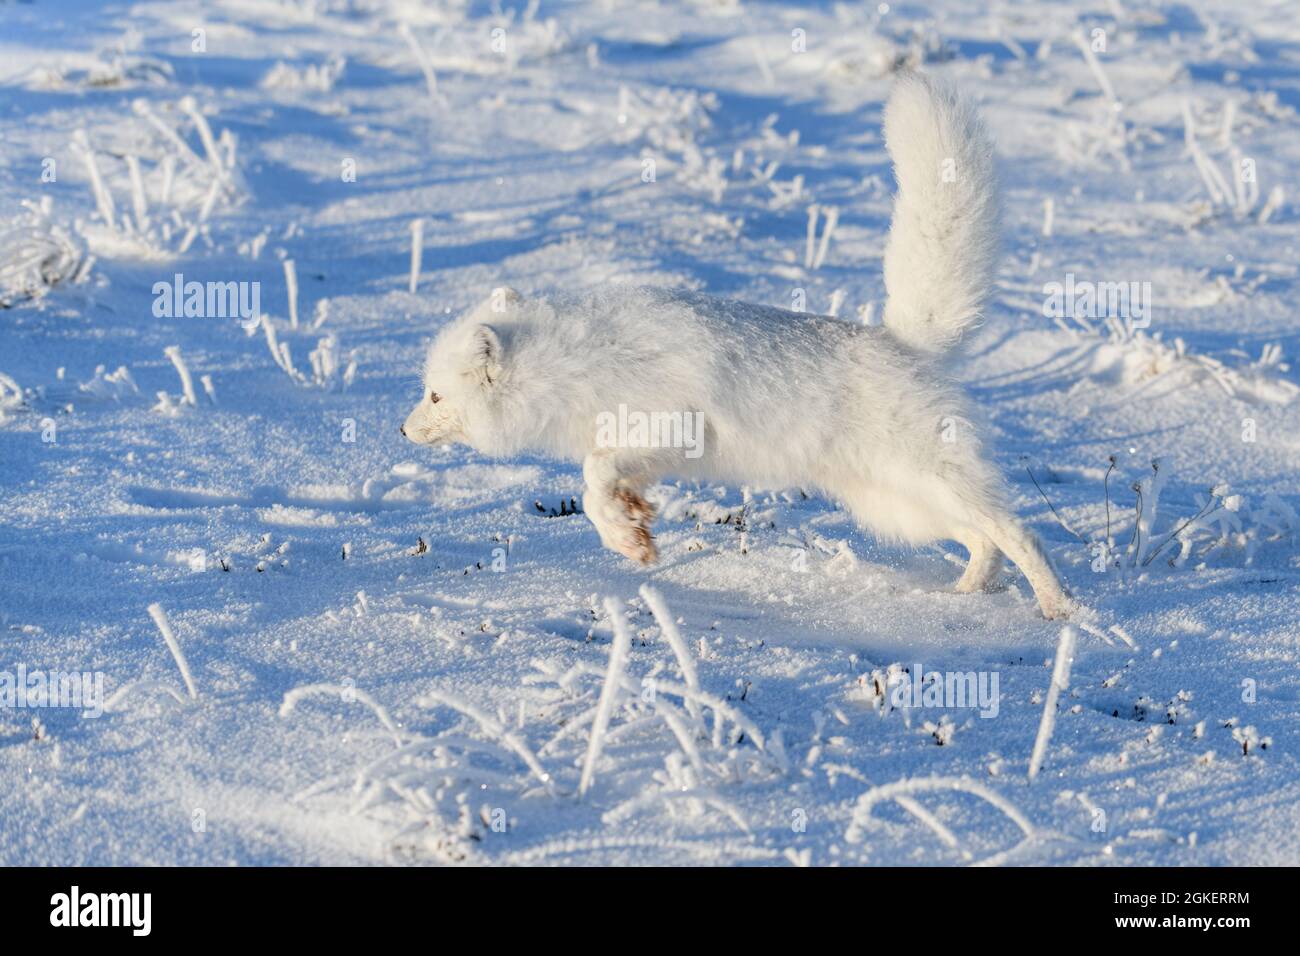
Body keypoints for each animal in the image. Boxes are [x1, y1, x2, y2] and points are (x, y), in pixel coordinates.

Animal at [401, 72, 1073, 620]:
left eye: (435, 396)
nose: (402, 431)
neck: (569, 363)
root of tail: (902, 343)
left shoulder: (668, 422)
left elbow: (594, 474)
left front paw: (627, 533)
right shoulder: (644, 448)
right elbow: (598, 488)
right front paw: (631, 530)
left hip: (928, 480)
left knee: (1020, 533)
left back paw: (1062, 612)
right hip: (896, 507)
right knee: (984, 543)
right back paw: (964, 599)